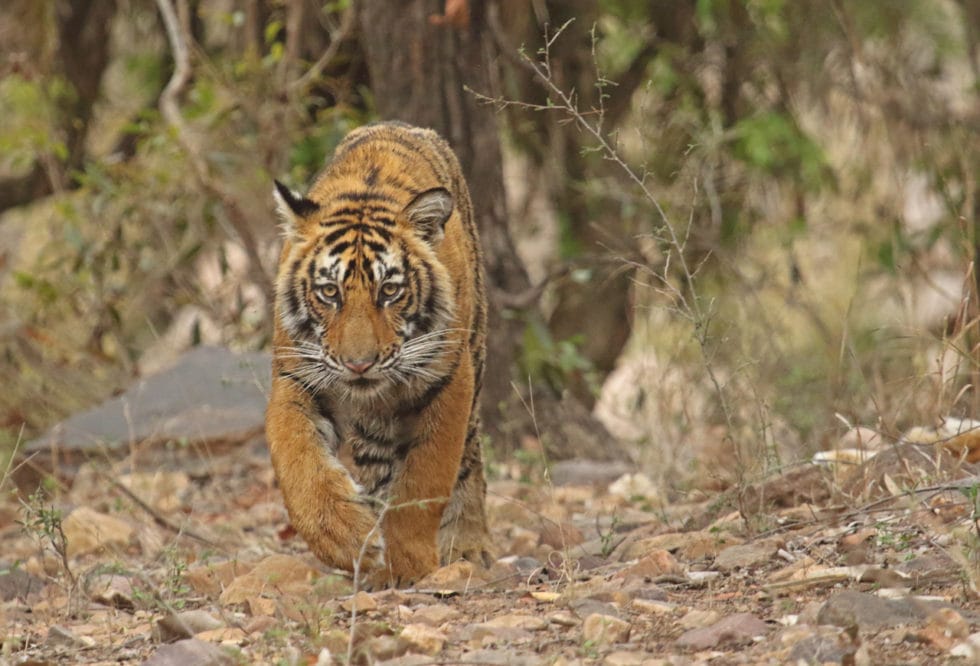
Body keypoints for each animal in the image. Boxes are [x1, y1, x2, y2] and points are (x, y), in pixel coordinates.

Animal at [265, 122, 493, 588]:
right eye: (328, 292)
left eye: (389, 290)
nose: (359, 364)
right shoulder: (298, 377)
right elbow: (296, 461)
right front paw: (347, 539)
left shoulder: (449, 379)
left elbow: (425, 479)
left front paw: (408, 564)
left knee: (469, 459)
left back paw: (467, 545)